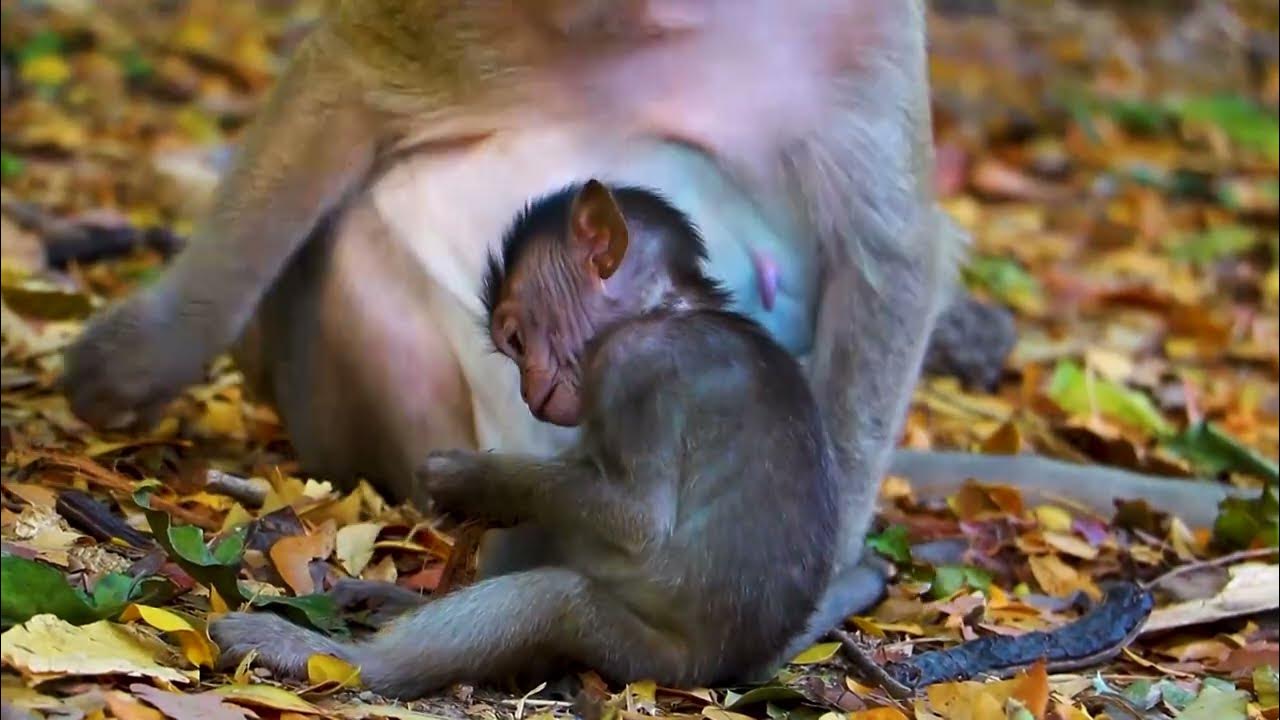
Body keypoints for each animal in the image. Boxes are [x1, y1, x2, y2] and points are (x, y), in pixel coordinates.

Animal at [209, 179, 849, 695]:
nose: (526, 389)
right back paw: (399, 603)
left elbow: (638, 521)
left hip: (643, 653)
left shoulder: (632, 368)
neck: (662, 310)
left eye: (516, 339)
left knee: (553, 601)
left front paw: (473, 480)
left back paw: (331, 657)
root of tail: (721, 670)